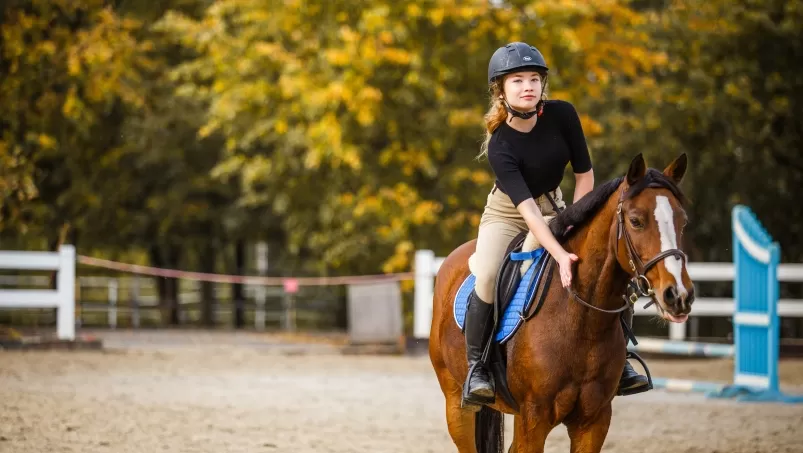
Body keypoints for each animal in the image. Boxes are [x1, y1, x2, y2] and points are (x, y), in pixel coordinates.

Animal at [430, 154, 696, 450]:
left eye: (683, 221)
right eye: (636, 221)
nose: (678, 295)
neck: (583, 322)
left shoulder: (594, 422)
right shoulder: (533, 421)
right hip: (456, 403)